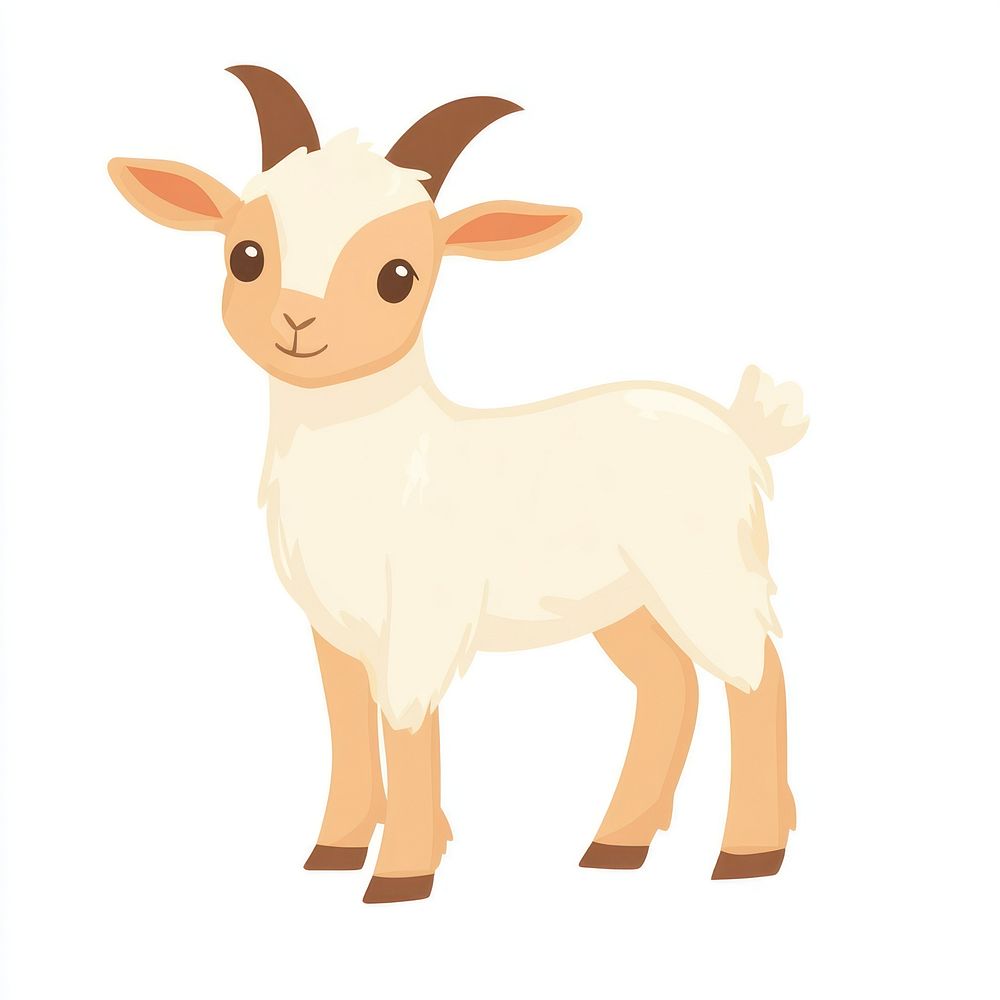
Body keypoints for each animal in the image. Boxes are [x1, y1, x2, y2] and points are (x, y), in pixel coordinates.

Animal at [109, 65, 807, 904]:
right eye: (246, 253)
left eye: (398, 275)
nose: (297, 322)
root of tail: (741, 427)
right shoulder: (334, 625)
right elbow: (348, 725)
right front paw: (335, 849)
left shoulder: (422, 617)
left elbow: (406, 726)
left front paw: (401, 874)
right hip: (622, 601)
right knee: (671, 686)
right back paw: (615, 844)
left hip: (705, 573)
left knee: (756, 678)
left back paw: (747, 854)